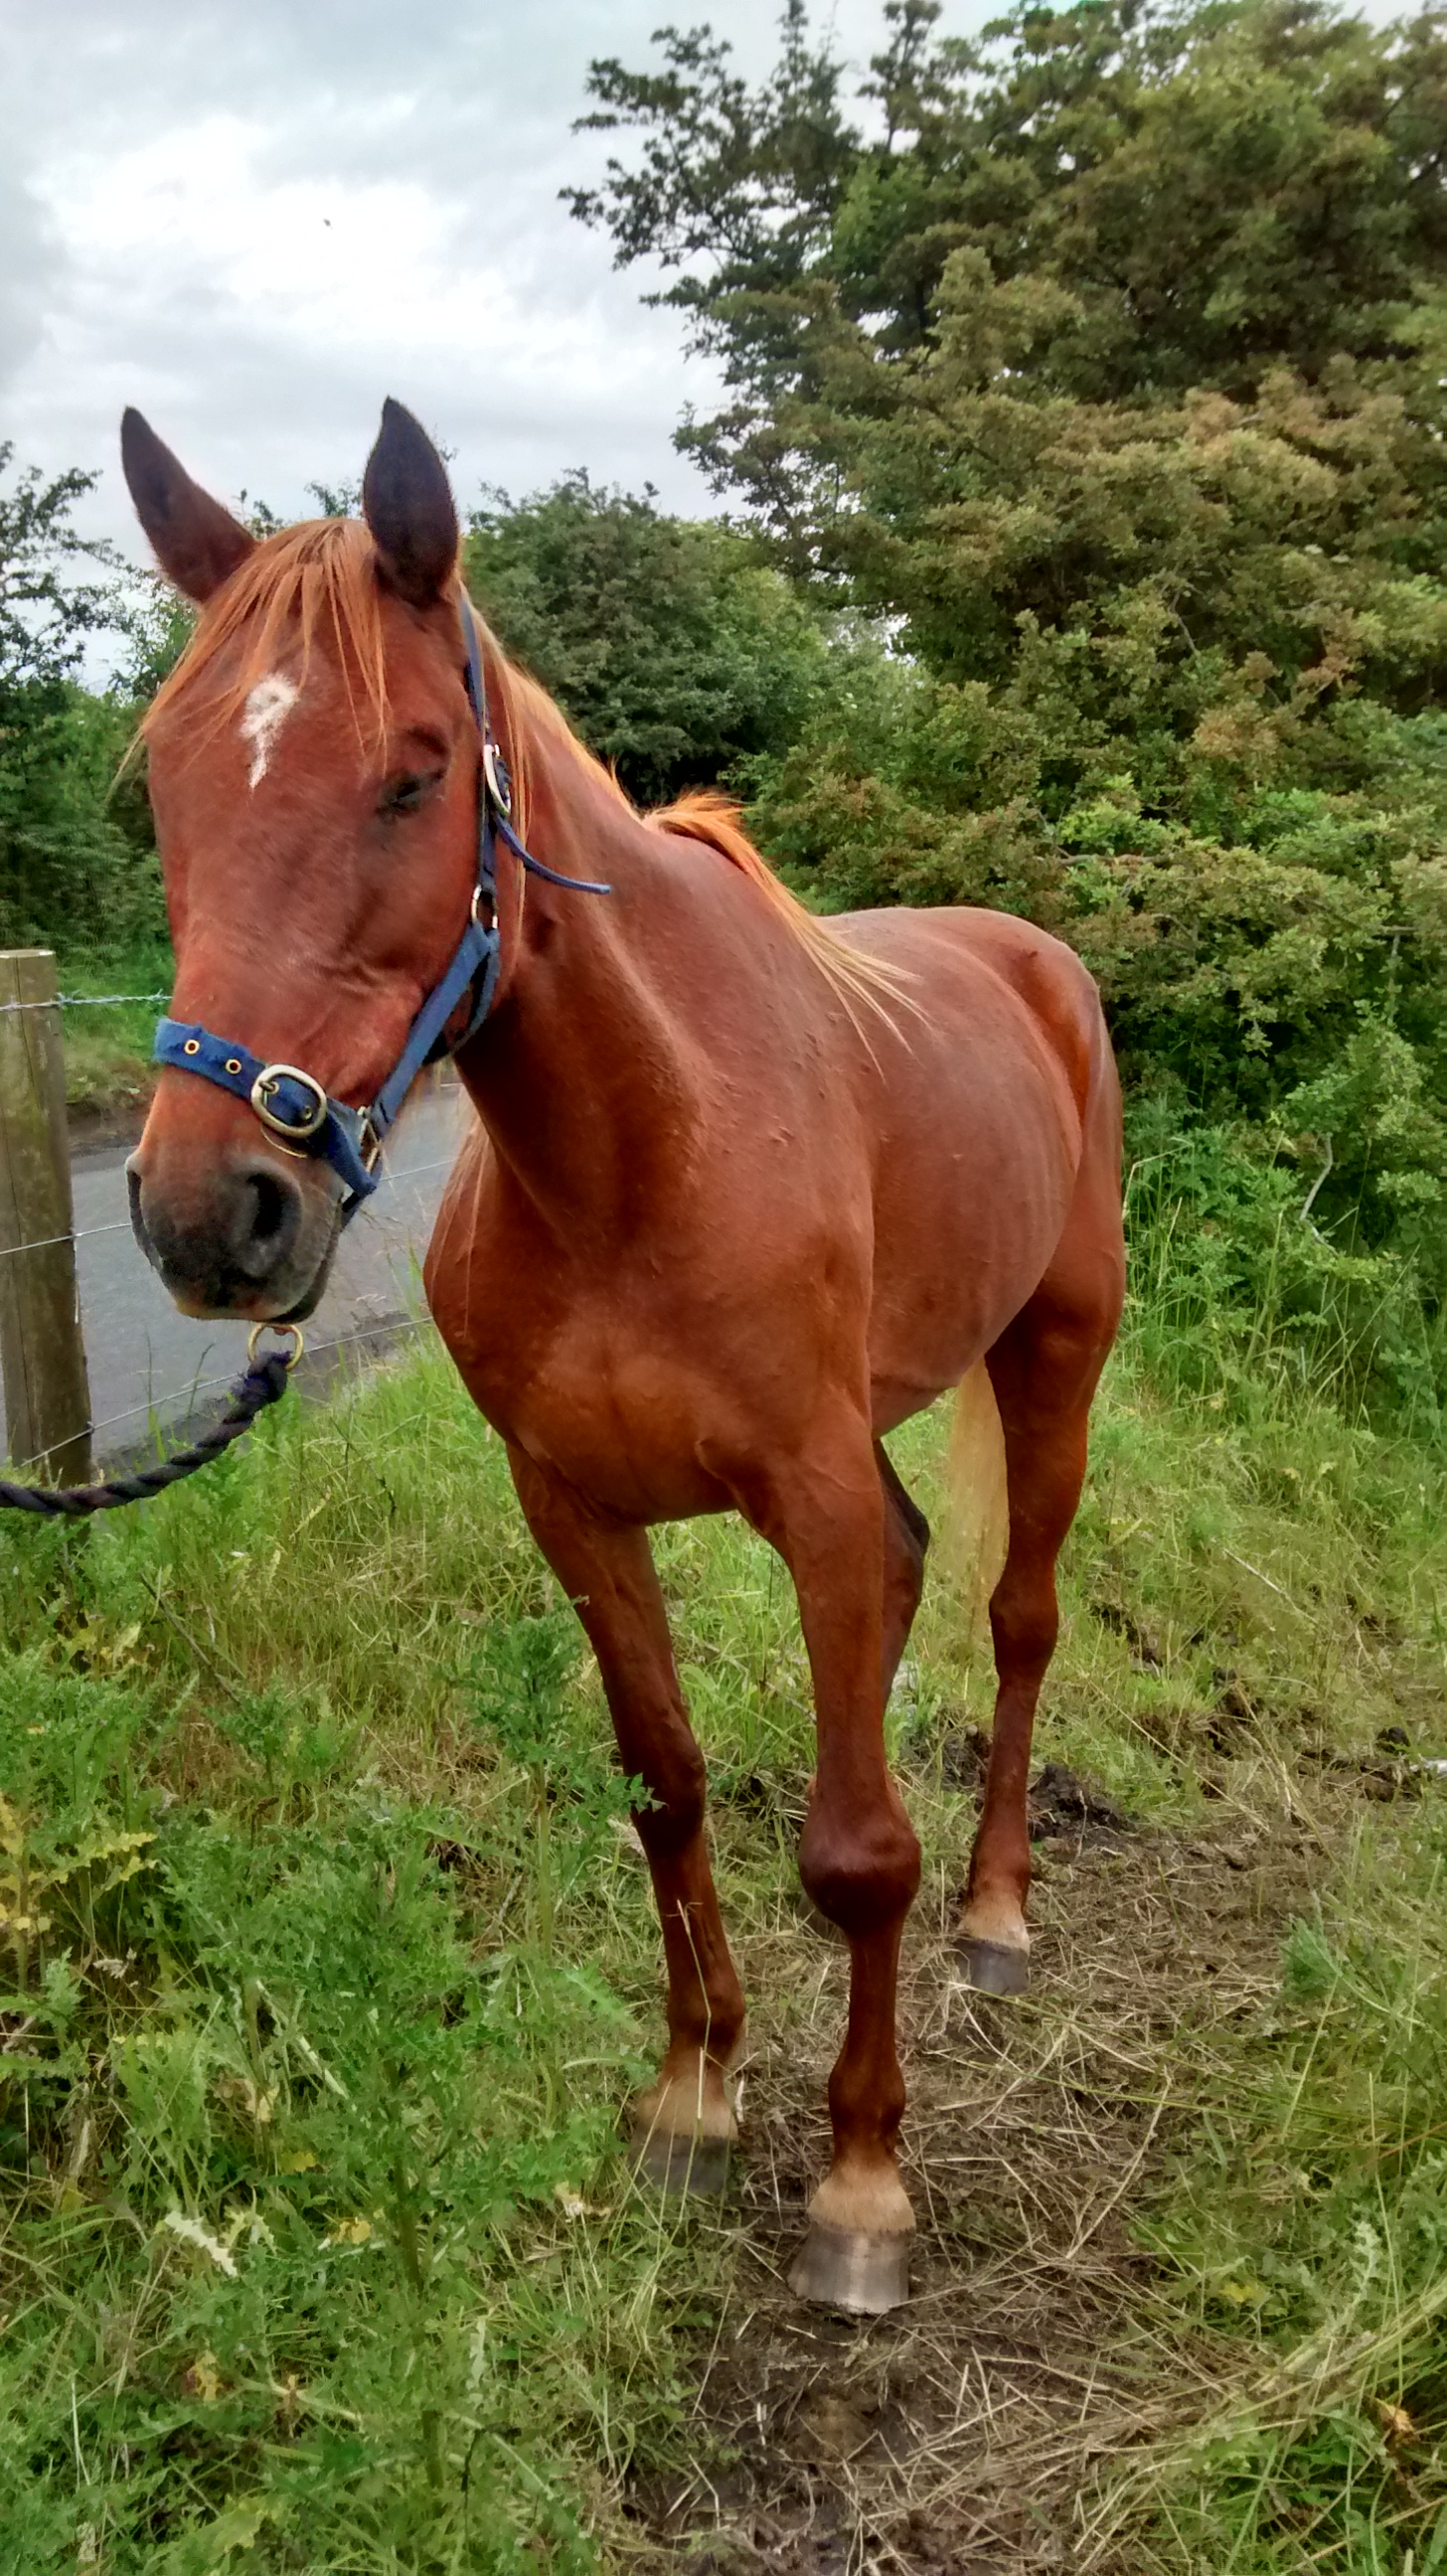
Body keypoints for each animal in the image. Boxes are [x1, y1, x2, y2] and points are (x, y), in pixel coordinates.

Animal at [120, 398, 1125, 2315]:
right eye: (160, 784)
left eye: (417, 771)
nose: (213, 1218)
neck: (640, 1154)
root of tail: (1034, 959)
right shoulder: (576, 1506)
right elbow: (667, 1789)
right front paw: (694, 2094)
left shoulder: (807, 1491)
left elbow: (857, 1849)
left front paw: (862, 2183)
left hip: (1057, 1355)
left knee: (1018, 1624)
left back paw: (999, 1914)